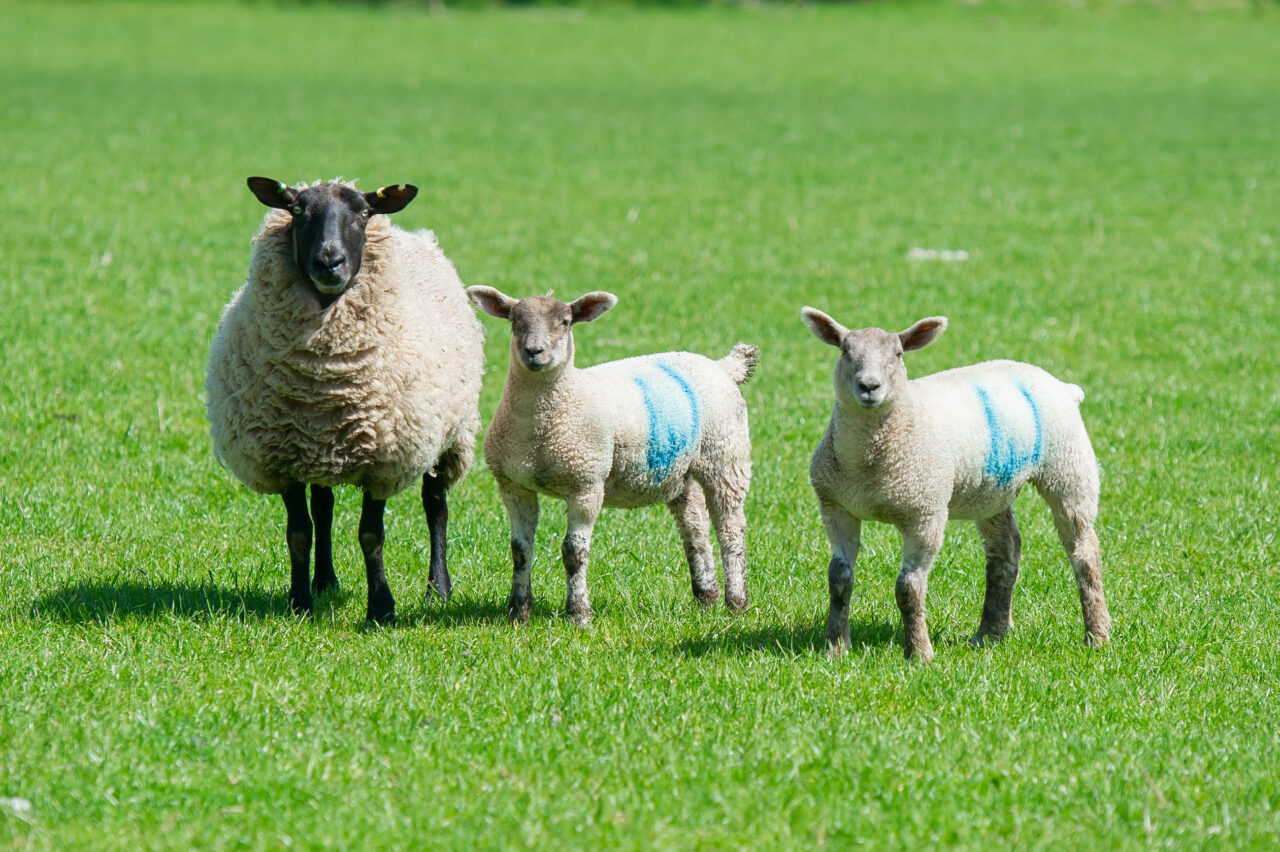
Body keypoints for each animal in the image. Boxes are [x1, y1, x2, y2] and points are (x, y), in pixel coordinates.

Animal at [205, 177, 484, 623]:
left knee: (435, 504)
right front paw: (300, 602)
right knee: (324, 506)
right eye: (296, 210)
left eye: (364, 213)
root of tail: (421, 237)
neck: (326, 378)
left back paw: (437, 590)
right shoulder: (283, 456)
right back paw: (324, 581)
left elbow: (371, 535)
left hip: (449, 434)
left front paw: (381, 609)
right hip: (319, 448)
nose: (329, 262)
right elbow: (299, 533)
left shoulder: (383, 457)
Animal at [466, 286, 758, 625]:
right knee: (695, 529)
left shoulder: (586, 484)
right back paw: (706, 597)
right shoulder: (513, 485)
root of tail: (724, 365)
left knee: (731, 530)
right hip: (682, 472)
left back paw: (736, 602)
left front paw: (578, 614)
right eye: (515, 321)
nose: (534, 352)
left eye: (565, 322)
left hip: (726, 457)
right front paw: (517, 613)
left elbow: (573, 552)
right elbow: (519, 550)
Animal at [800, 308, 1111, 662]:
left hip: (1069, 468)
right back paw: (990, 633)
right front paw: (835, 648)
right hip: (992, 487)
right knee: (1005, 549)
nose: (869, 386)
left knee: (1084, 552)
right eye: (845, 351)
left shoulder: (925, 514)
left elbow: (908, 588)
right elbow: (839, 580)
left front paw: (919, 653)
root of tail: (1064, 386)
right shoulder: (837, 507)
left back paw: (1097, 634)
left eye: (898, 354)